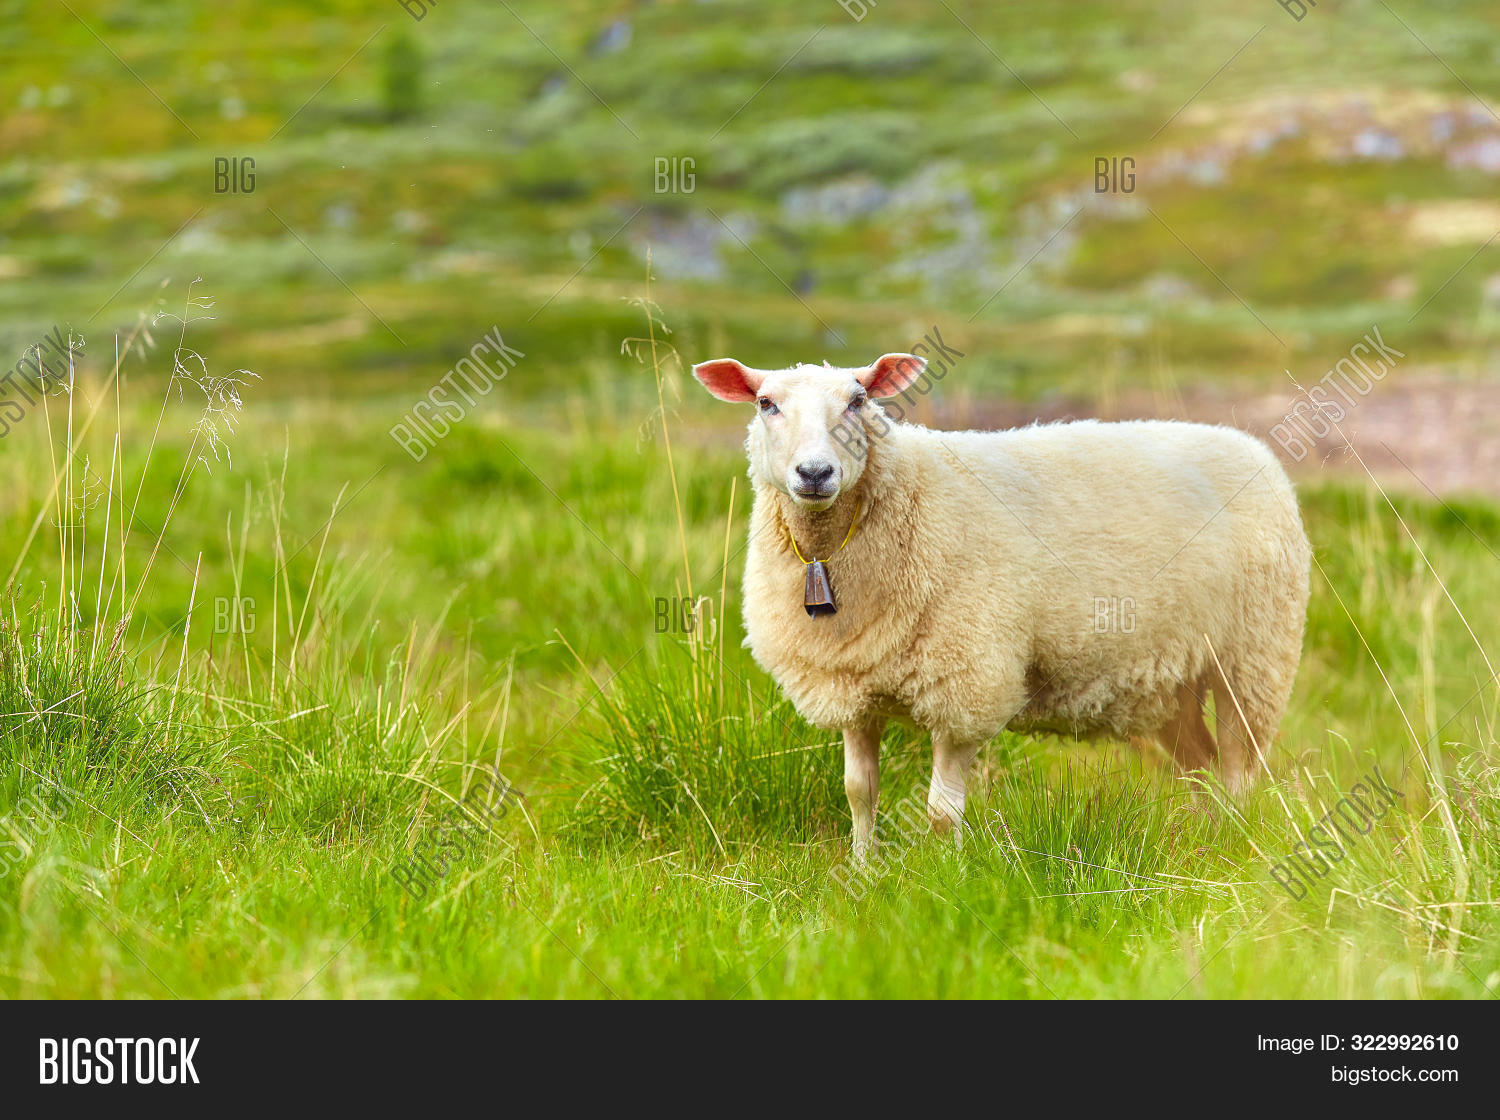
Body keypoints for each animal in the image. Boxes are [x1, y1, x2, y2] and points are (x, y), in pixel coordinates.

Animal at [692, 352, 1311, 859]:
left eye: (858, 400)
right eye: (766, 404)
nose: (815, 473)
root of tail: (1251, 445)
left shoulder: (967, 685)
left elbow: (942, 812)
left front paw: (943, 877)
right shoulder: (850, 687)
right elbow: (858, 793)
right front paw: (863, 871)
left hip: (1253, 656)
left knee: (1239, 767)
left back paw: (1235, 845)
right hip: (1172, 681)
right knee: (1203, 768)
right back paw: (1205, 840)